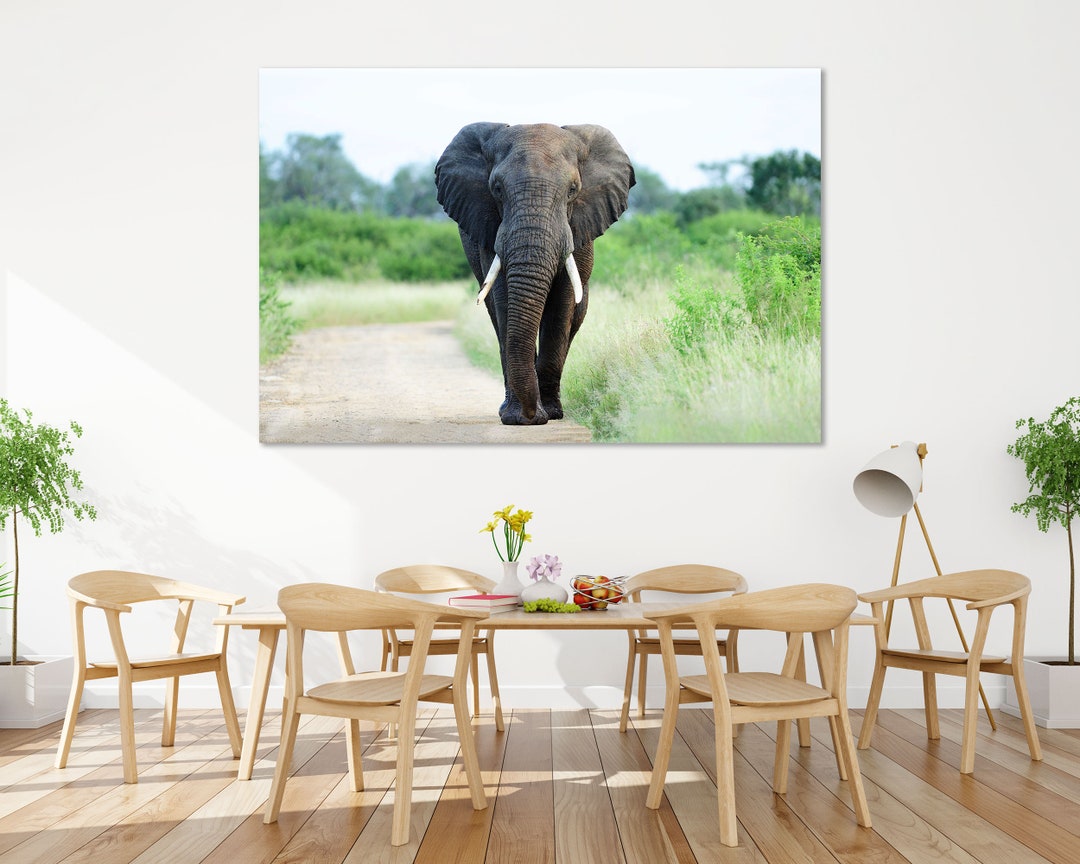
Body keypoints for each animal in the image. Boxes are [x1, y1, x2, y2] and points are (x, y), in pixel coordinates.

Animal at [435, 122, 635, 425]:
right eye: (496, 189)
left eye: (573, 190)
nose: (531, 417)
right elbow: (504, 296)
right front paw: (519, 418)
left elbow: (562, 304)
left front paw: (549, 414)